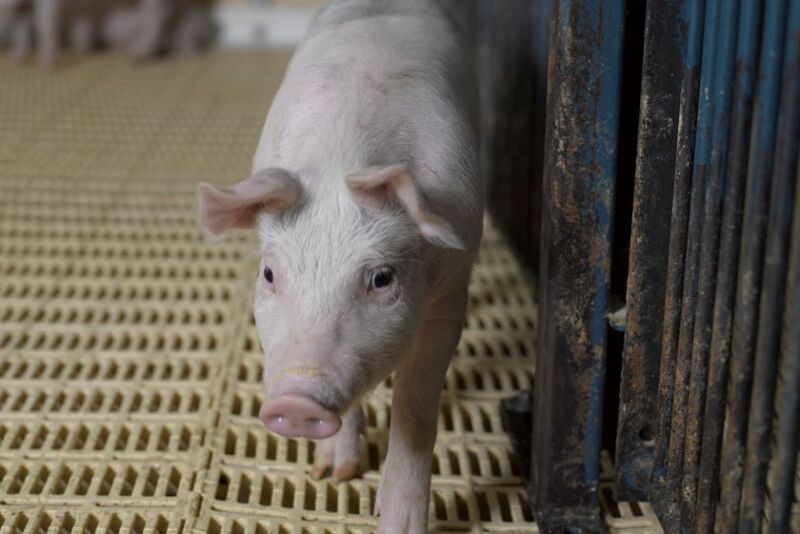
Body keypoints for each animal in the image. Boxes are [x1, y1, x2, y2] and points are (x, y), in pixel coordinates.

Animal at [196, 1, 480, 532]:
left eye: (381, 278)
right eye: (270, 274)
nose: (295, 401)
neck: (343, 160)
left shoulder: (454, 285)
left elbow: (415, 404)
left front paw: (398, 525)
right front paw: (333, 476)